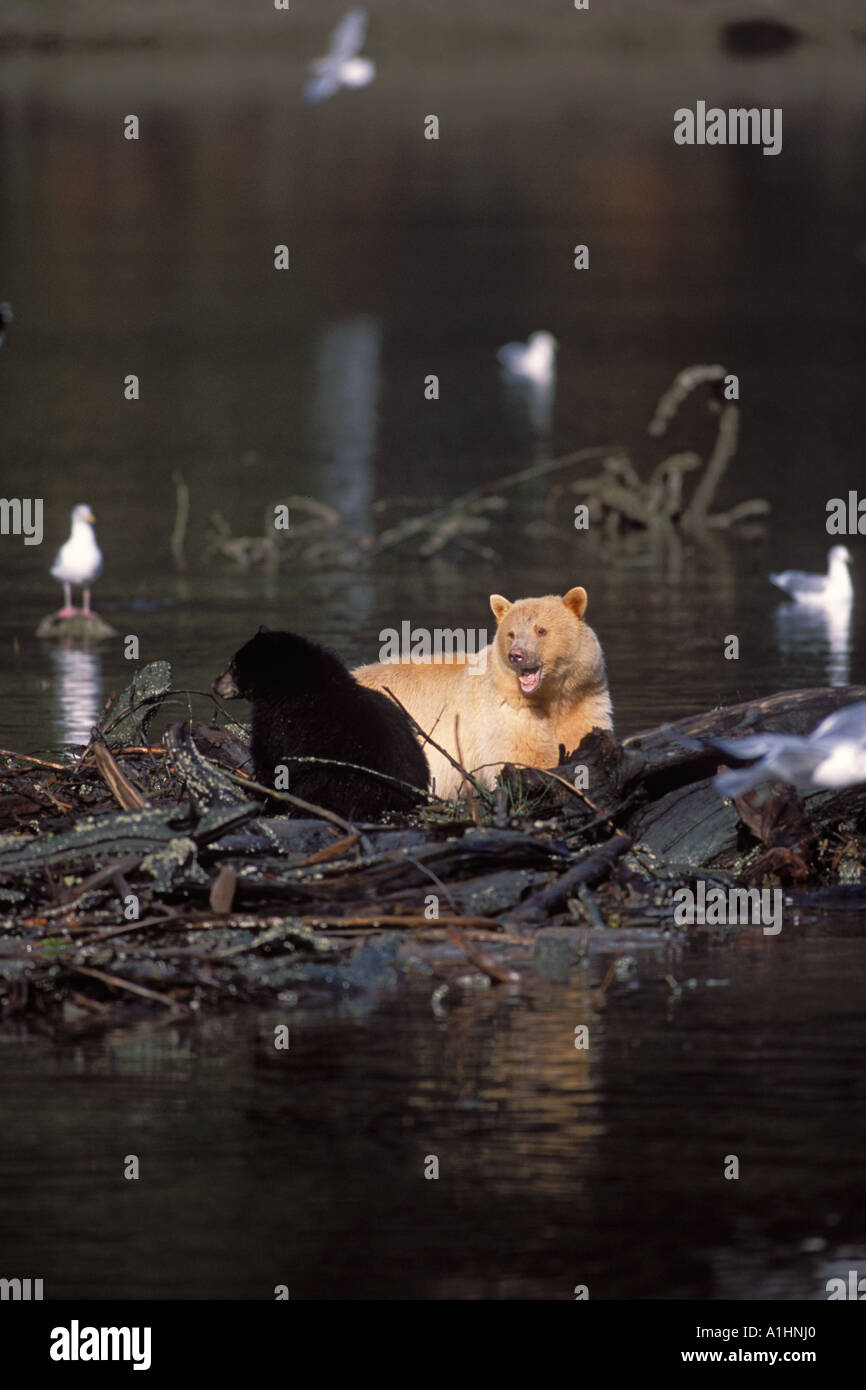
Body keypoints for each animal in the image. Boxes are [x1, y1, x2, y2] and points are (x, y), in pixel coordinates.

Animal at [353, 587, 612, 798]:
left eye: (541, 630)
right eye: (511, 633)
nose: (516, 655)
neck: (551, 697)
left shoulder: (583, 699)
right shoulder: (506, 717)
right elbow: (524, 759)